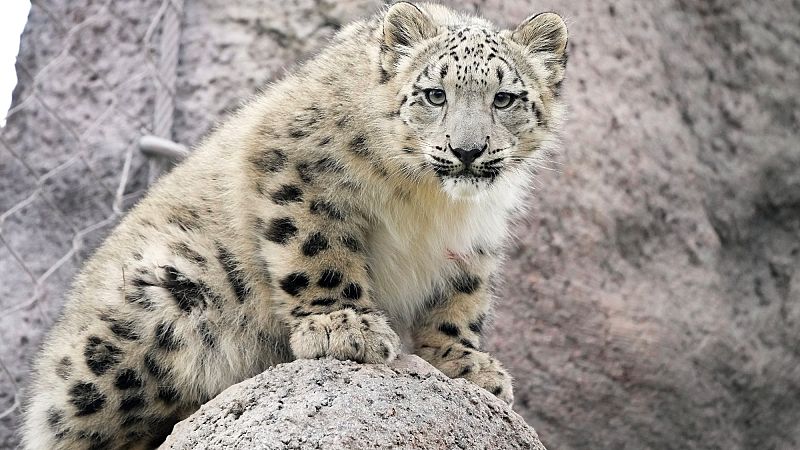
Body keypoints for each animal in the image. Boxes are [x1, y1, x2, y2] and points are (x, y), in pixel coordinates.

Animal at [20, 2, 568, 448]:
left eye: (505, 99)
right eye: (435, 95)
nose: (467, 150)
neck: (435, 203)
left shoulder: (476, 241)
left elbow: (461, 300)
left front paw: (464, 362)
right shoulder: (296, 170)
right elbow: (318, 251)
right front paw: (343, 327)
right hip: (162, 301)